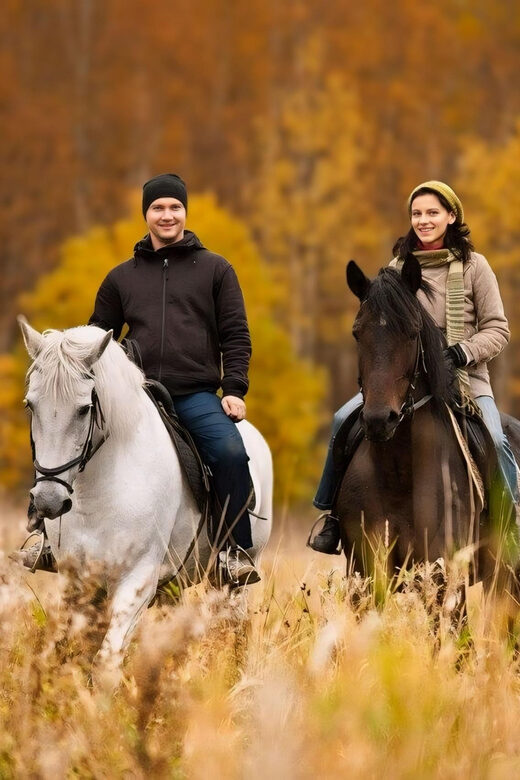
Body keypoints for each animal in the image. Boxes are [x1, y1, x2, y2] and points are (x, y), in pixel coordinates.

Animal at [17, 318, 273, 678]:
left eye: (84, 409)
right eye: (30, 405)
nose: (49, 501)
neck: (99, 492)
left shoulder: (137, 580)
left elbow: (105, 663)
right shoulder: (79, 582)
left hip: (233, 580)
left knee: (234, 626)